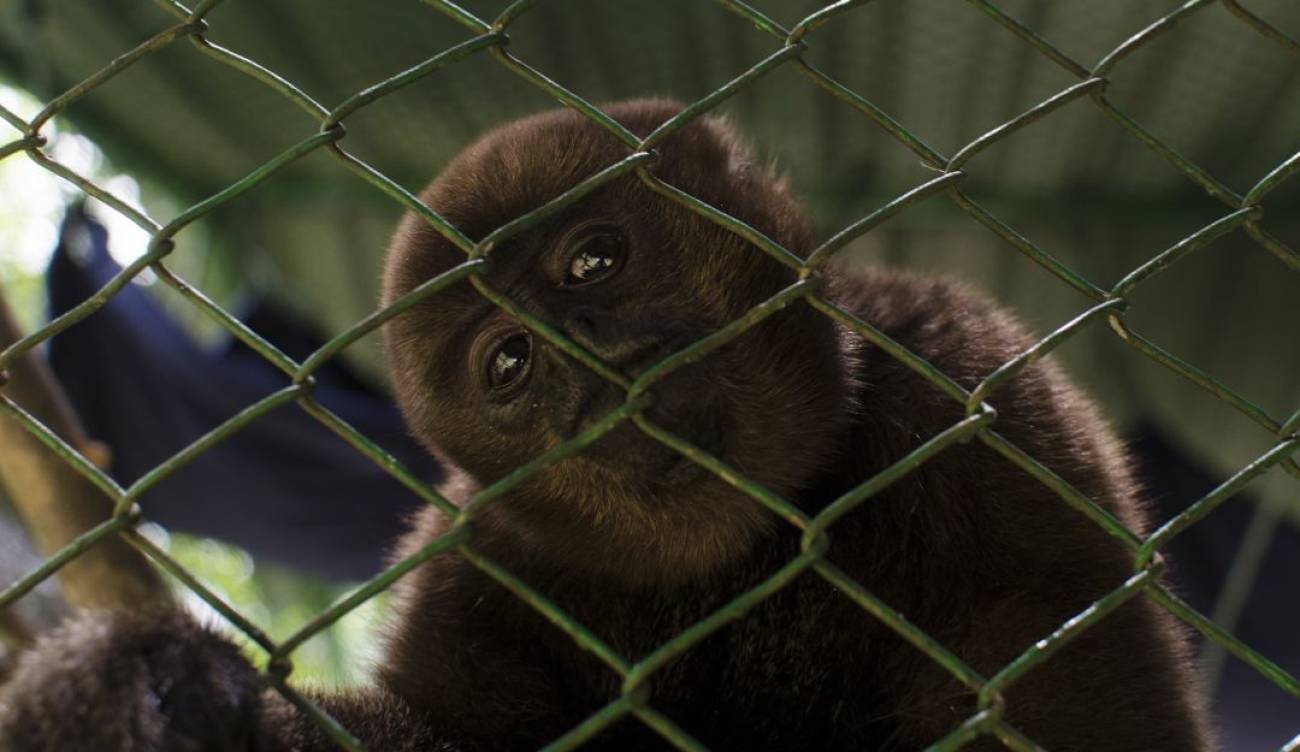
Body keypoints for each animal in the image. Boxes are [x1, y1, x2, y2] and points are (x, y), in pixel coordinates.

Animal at [0, 99, 1213, 751]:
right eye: (509, 363)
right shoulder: (477, 563)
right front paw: (150, 696)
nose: (590, 356)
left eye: (594, 260)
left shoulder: (980, 394)